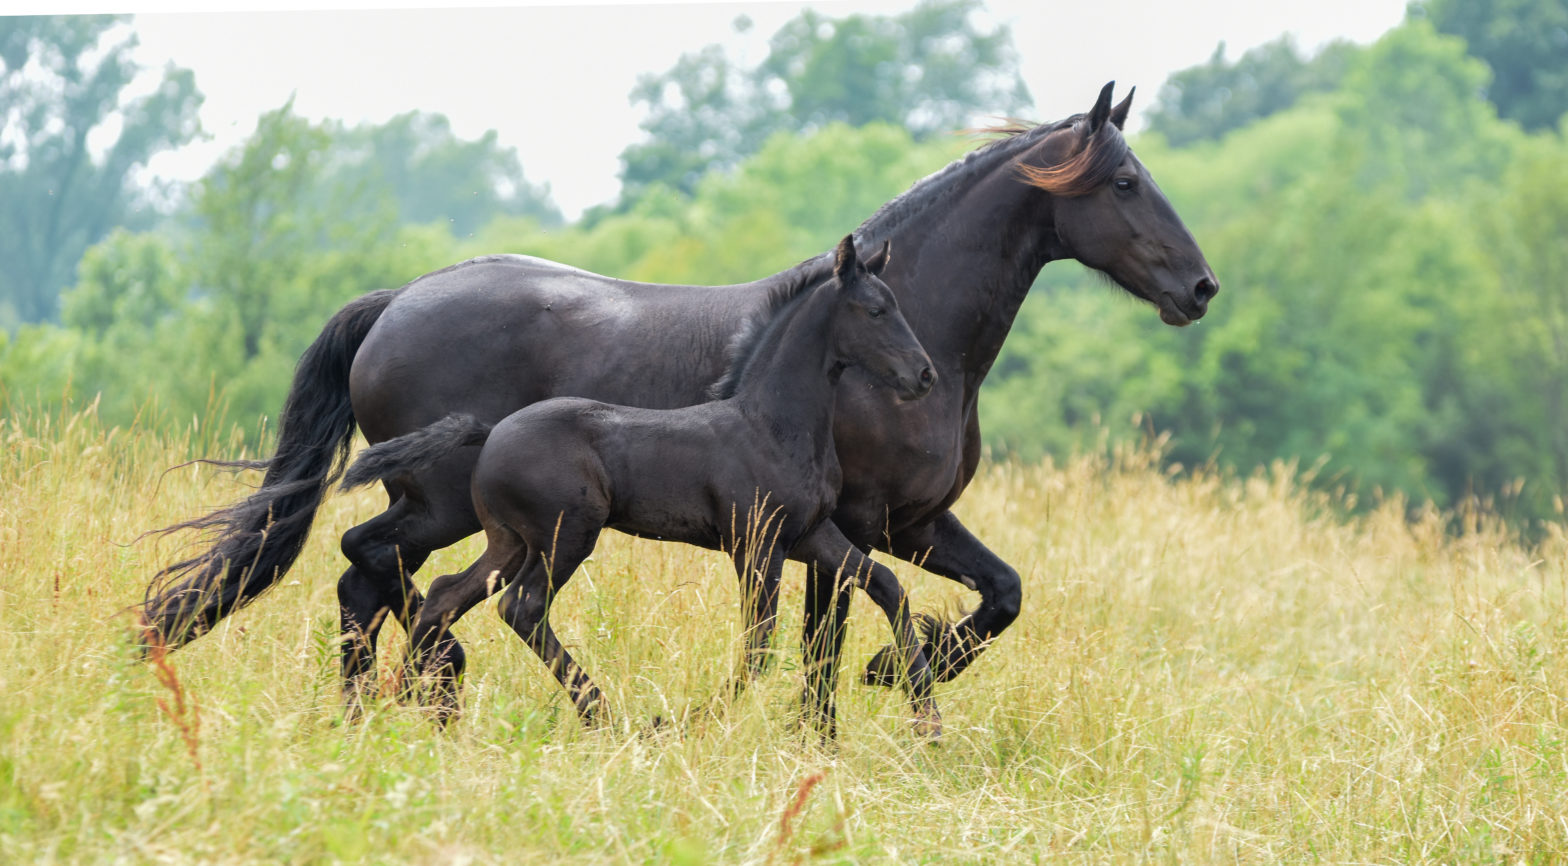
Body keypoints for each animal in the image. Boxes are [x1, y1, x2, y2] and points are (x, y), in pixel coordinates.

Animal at [338, 235, 942, 736]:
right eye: (875, 311)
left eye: (897, 306)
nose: (925, 376)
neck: (770, 424)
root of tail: (491, 430)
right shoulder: (754, 542)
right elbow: (758, 643)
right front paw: (684, 721)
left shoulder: (812, 534)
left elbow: (888, 585)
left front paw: (929, 718)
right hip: (565, 536)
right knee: (522, 607)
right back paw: (600, 713)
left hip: (510, 541)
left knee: (445, 596)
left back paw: (423, 700)